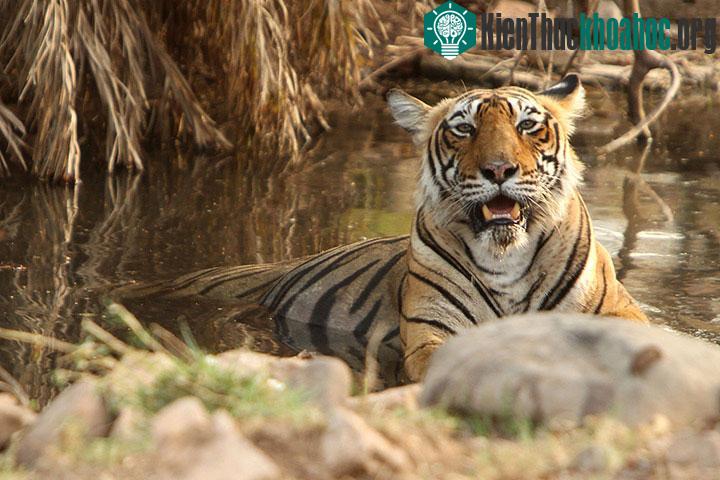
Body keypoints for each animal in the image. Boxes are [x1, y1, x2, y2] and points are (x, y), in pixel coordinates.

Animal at [116, 74, 648, 382]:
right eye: (464, 130)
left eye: (527, 127)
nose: (499, 169)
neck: (506, 258)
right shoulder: (435, 333)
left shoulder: (620, 313)